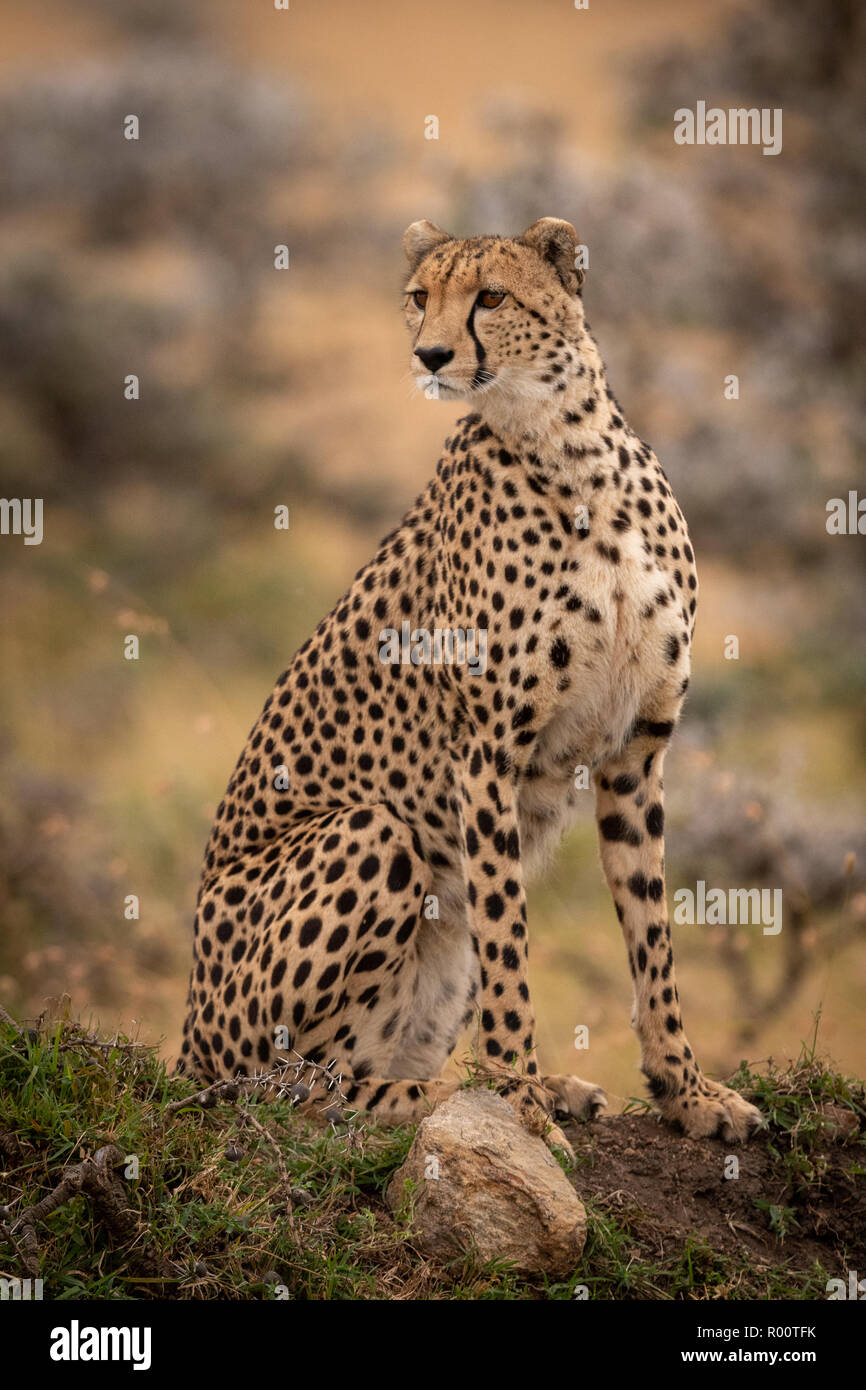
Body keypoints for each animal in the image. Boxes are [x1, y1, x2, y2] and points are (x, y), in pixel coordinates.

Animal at [177, 216, 762, 1154]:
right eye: (422, 297)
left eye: (491, 296)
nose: (431, 353)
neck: (571, 451)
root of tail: (187, 1046)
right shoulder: (484, 753)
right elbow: (510, 937)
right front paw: (517, 1102)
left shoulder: (638, 752)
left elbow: (653, 935)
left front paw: (688, 1091)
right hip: (368, 842)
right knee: (290, 1093)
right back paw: (452, 1095)